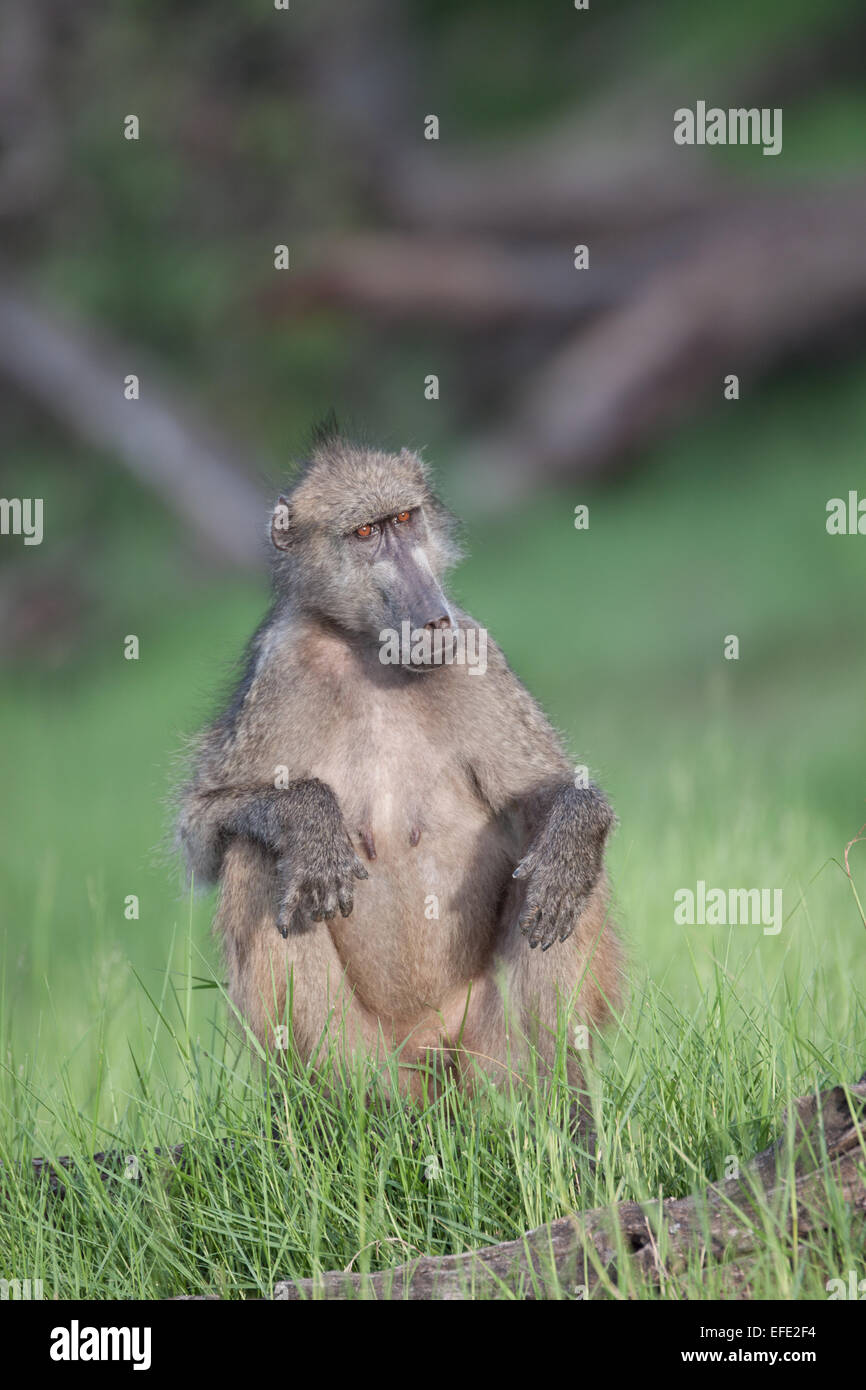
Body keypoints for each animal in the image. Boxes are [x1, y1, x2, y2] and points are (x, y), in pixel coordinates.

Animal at [177, 434, 623, 1103]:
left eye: (405, 519)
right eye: (365, 533)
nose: (431, 616)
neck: (371, 651)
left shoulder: (474, 652)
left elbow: (545, 796)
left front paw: (570, 836)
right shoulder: (280, 668)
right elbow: (202, 829)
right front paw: (309, 821)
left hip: (490, 1050)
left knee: (558, 889)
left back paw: (567, 1109)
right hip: (366, 1056)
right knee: (252, 855)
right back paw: (326, 1113)